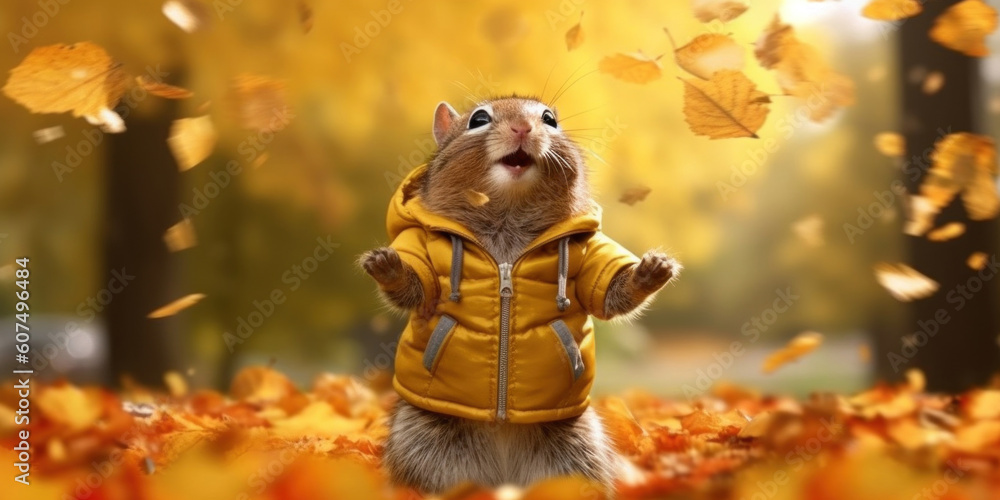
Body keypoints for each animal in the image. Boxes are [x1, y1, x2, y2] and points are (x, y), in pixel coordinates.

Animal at [360, 96, 679, 494]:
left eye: (550, 119)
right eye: (478, 119)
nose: (523, 128)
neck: (508, 211)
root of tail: (503, 472)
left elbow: (609, 296)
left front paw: (653, 269)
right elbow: (415, 289)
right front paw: (385, 264)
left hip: (576, 448)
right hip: (426, 442)